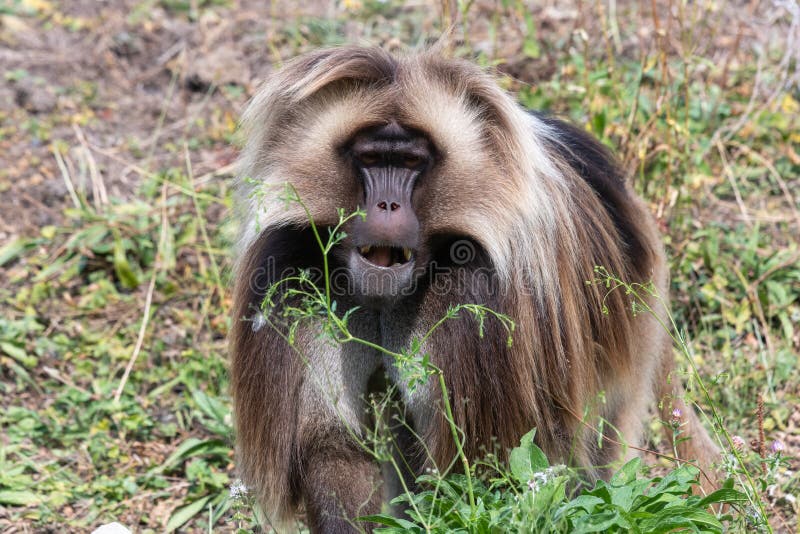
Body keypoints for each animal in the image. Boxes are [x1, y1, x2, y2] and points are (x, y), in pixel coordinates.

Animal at [230, 47, 719, 532]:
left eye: (410, 163)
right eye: (370, 158)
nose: (386, 205)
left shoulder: (478, 302)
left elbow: (477, 470)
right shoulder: (299, 279)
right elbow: (336, 449)